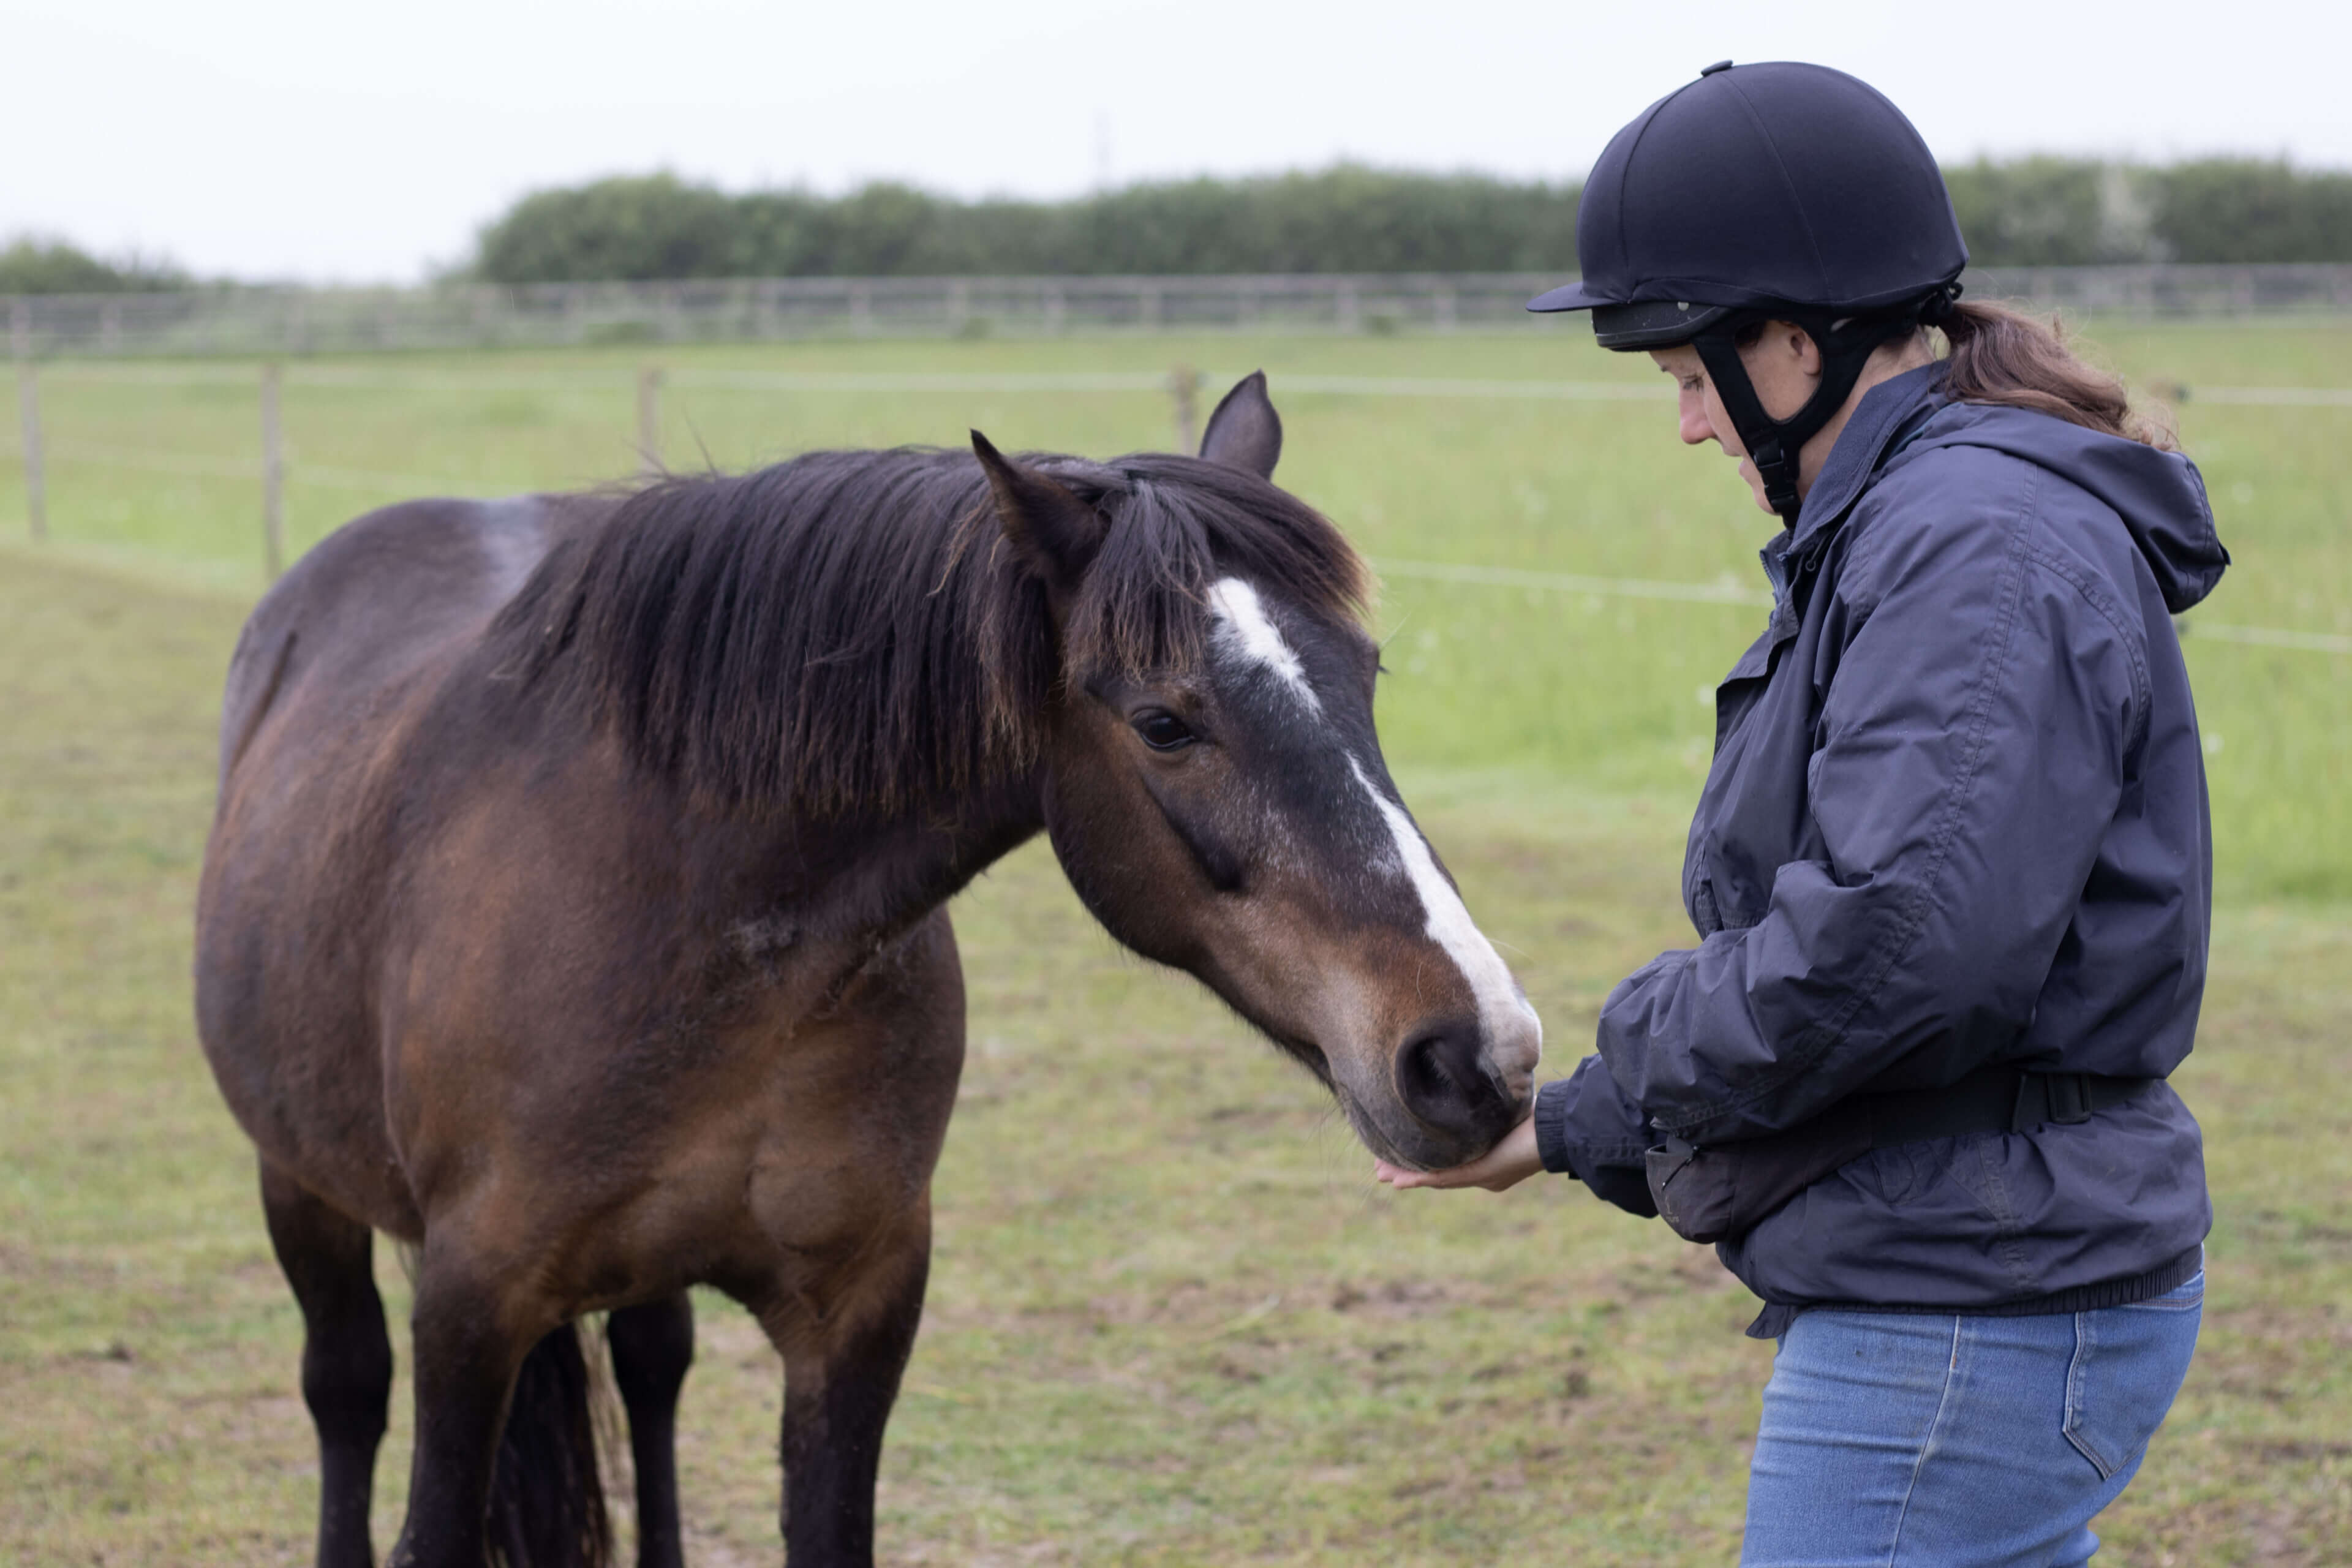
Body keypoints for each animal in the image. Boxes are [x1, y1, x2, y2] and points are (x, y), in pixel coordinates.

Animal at [193, 372, 1543, 1567]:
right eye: (1164, 721)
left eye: (1368, 675)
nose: (1475, 1053)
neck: (691, 916)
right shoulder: (469, 1312)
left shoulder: (859, 1309)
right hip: (297, 1185)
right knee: (346, 1388)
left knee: (652, 1372)